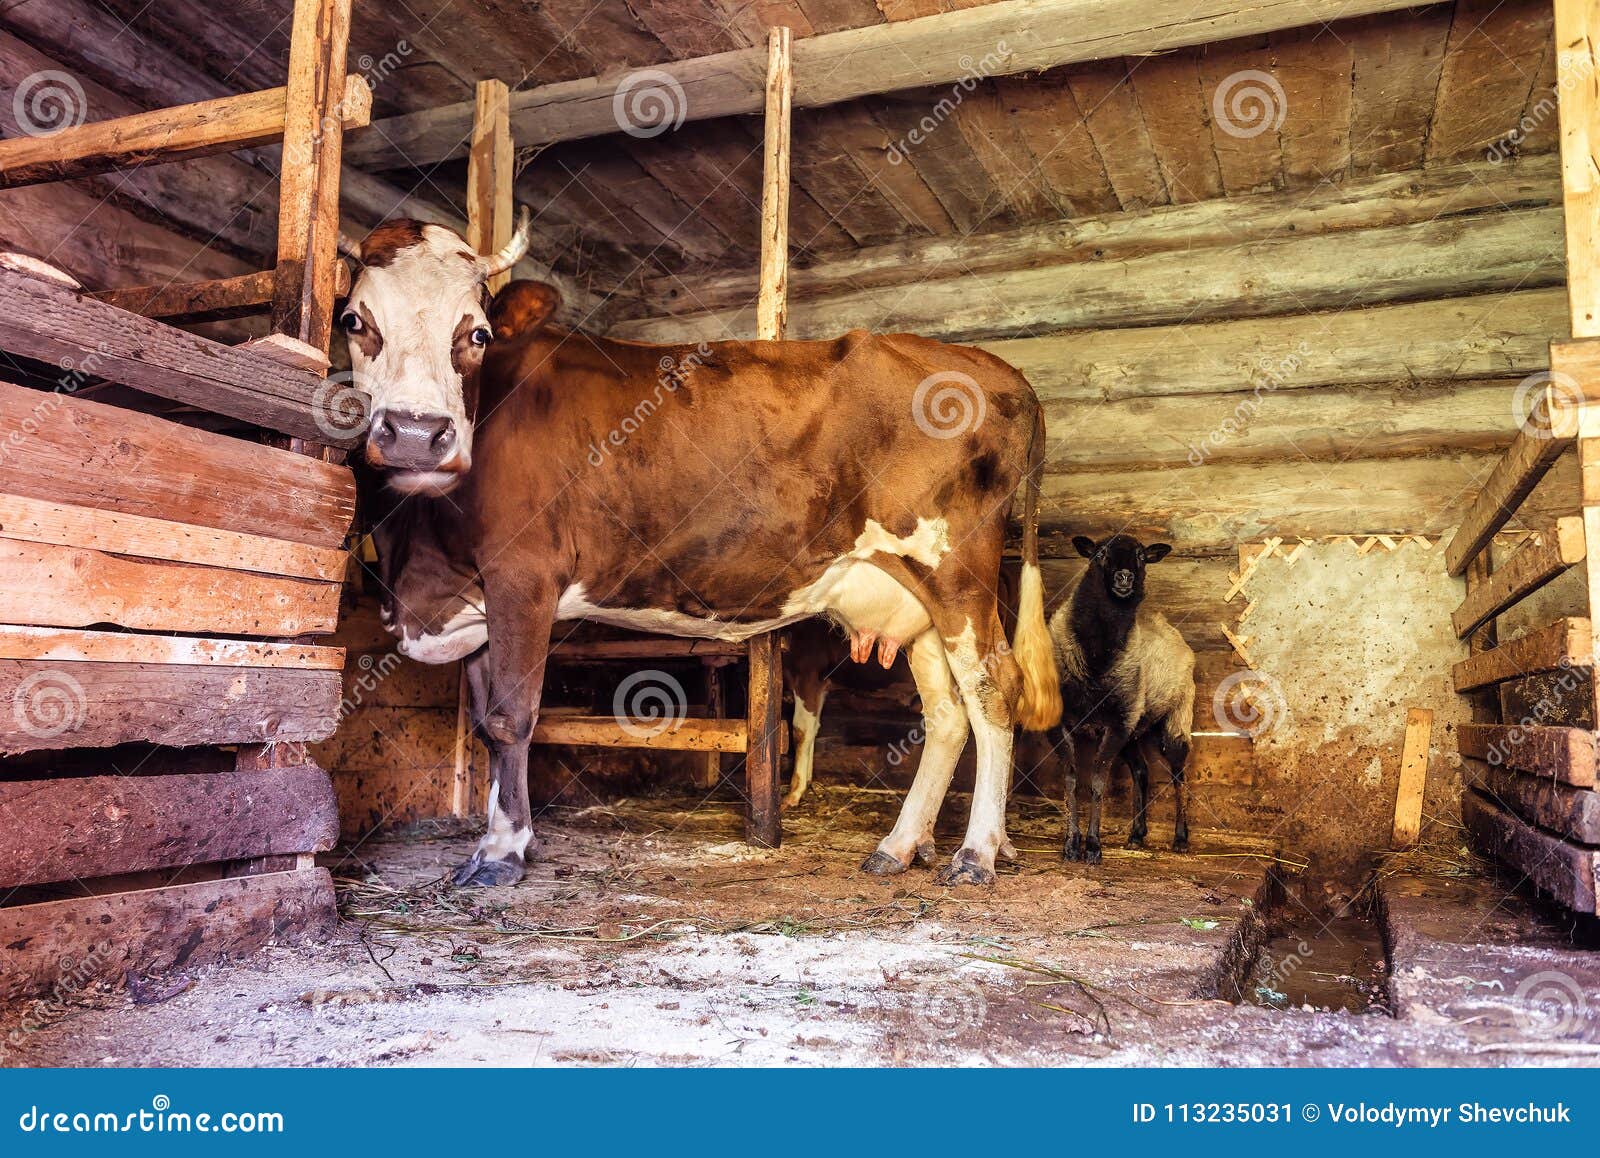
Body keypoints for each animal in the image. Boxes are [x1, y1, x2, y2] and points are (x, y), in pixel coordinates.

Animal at [341, 210, 1061, 888]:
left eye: (479, 334)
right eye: (354, 319)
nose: (415, 433)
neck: (422, 569)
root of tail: (998, 368)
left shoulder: (522, 575)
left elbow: (512, 717)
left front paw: (502, 853)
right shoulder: (475, 601)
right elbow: (487, 728)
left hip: (958, 573)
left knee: (994, 692)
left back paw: (976, 853)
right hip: (914, 595)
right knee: (946, 715)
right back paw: (900, 845)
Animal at [1048, 533, 1195, 863]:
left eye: (1140, 556)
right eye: (1101, 553)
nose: (1124, 577)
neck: (1095, 663)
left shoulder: (1116, 723)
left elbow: (1098, 783)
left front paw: (1093, 847)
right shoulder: (1060, 724)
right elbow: (1071, 780)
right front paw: (1071, 844)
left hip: (1175, 717)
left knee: (1179, 774)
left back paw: (1180, 838)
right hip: (1135, 727)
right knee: (1141, 771)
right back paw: (1136, 835)